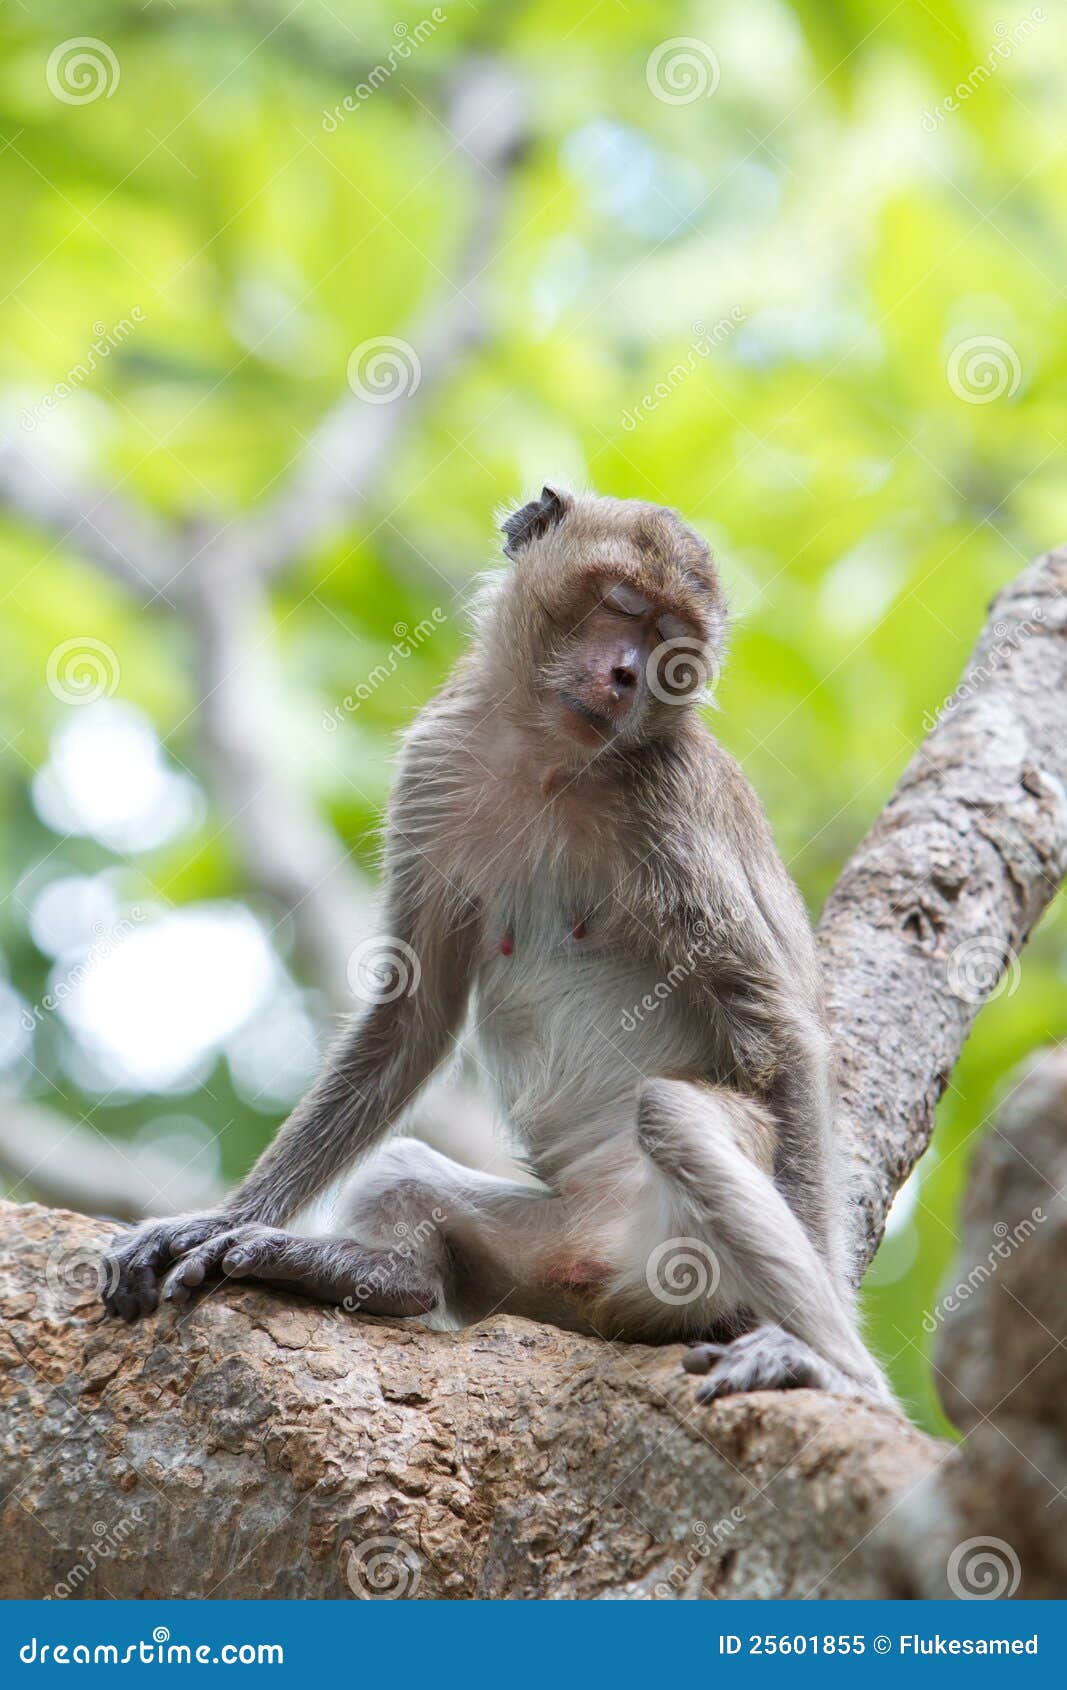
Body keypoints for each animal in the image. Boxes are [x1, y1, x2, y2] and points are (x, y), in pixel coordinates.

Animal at [103, 485, 891, 1406]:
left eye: (673, 649)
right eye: (624, 606)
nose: (627, 675)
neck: (549, 757)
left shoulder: (669, 807)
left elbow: (775, 1030)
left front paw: (829, 1359)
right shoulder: (435, 761)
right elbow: (414, 1011)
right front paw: (219, 1220)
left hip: (690, 1269)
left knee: (678, 1114)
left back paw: (826, 1357)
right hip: (539, 1258)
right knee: (412, 1170)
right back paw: (371, 1273)